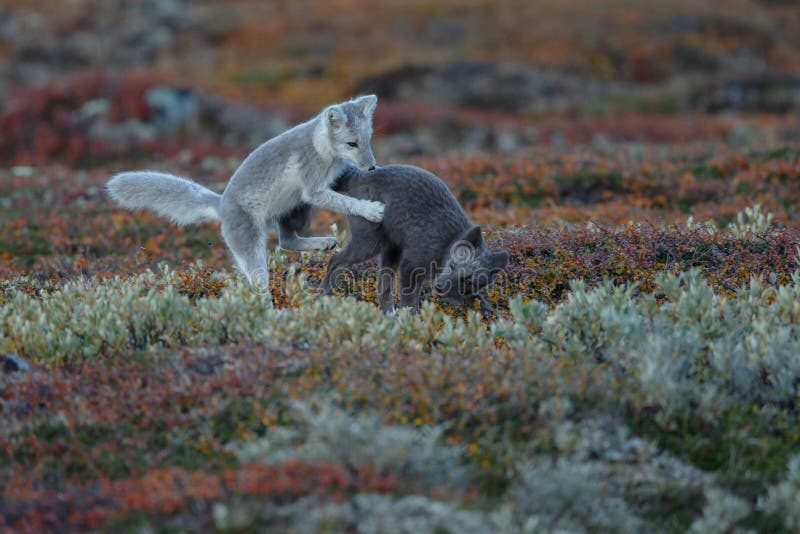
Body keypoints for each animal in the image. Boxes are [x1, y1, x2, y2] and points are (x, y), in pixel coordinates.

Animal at [106, 95, 385, 294]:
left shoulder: (328, 181)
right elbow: (346, 202)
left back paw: (321, 243)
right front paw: (369, 209)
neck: (324, 150)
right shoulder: (314, 190)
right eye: (351, 143)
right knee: (262, 277)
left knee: (286, 241)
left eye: (368, 140)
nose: (371, 167)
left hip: (298, 210)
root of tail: (220, 203)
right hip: (255, 245)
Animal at [314, 164, 509, 314]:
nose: (439, 287)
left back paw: (388, 315)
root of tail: (361, 175)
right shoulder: (411, 266)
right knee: (334, 260)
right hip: (369, 245)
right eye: (452, 266)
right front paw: (411, 321)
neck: (446, 245)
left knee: (383, 290)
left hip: (391, 251)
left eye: (468, 280)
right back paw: (324, 293)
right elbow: (409, 303)